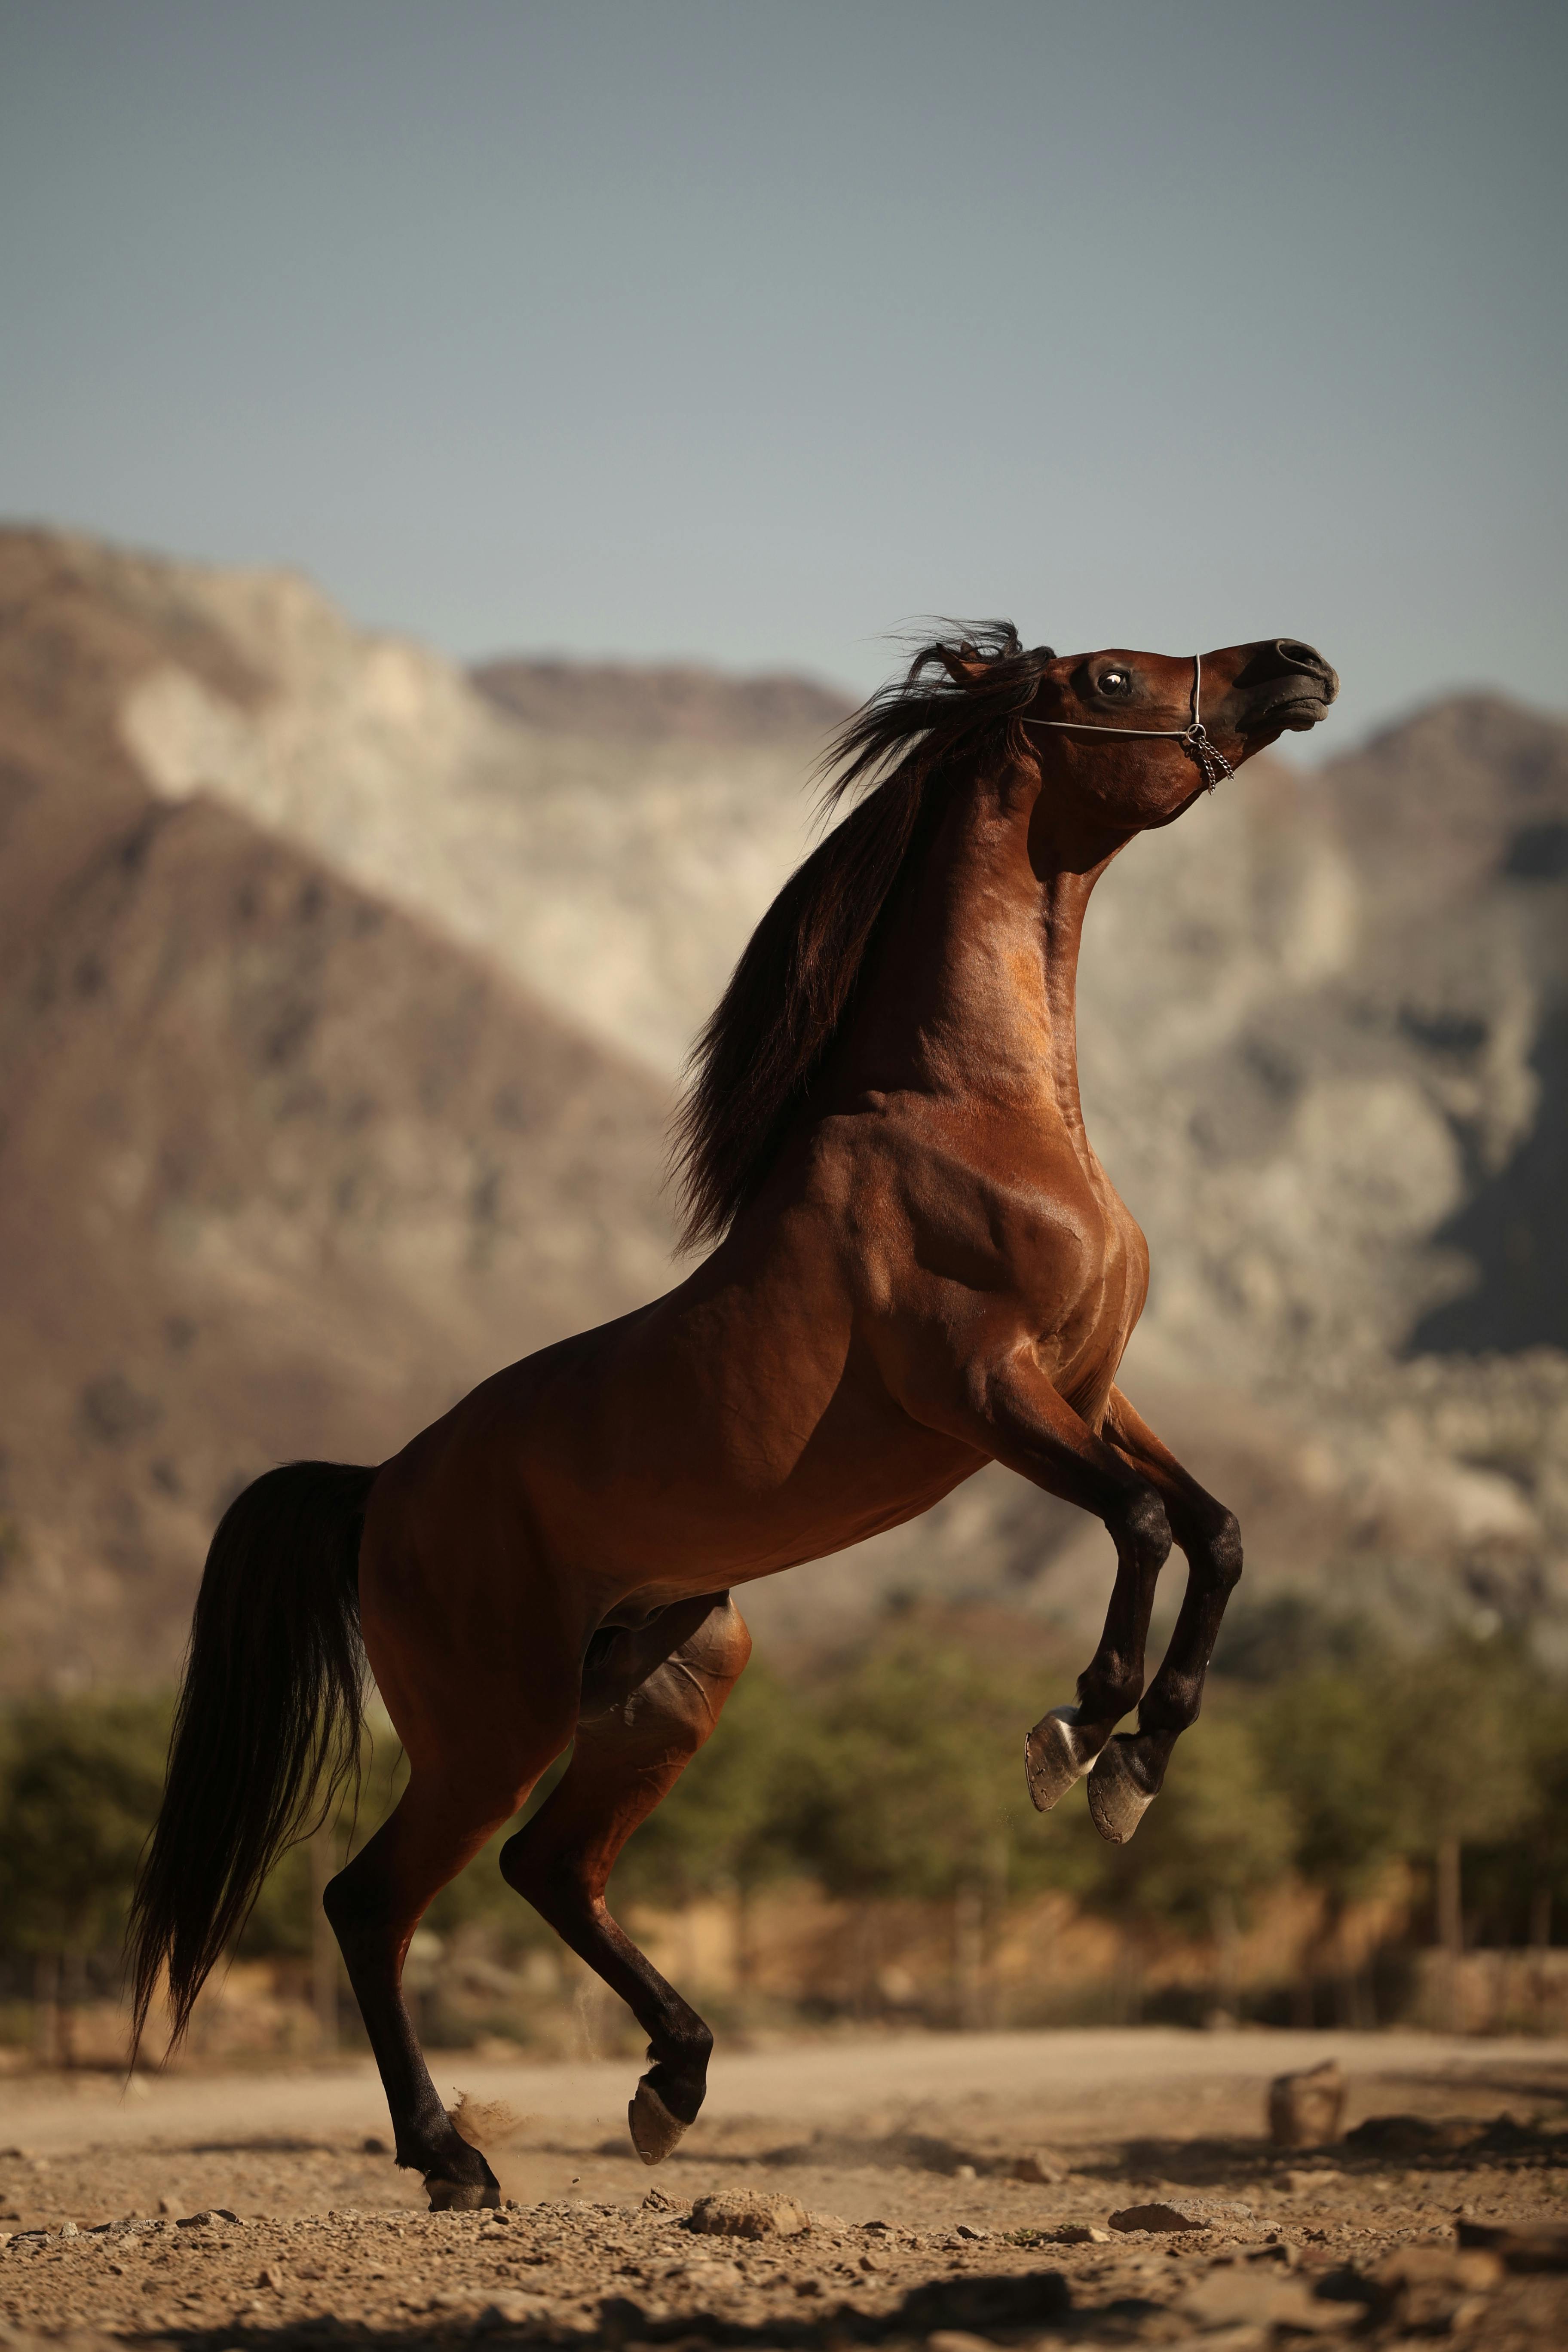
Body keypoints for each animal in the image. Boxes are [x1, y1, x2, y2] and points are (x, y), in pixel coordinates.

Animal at [129, 623, 1337, 2207]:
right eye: (1111, 681)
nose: (1297, 666)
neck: (973, 1119)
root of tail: (380, 1483)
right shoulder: (987, 1393)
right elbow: (1141, 1523)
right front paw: (1080, 1735)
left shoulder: (1089, 1390)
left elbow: (1217, 1528)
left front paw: (1140, 1758)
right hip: (491, 1726)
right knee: (370, 1898)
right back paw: (457, 2160)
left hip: (671, 1683)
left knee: (547, 1871)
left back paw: (671, 2086)